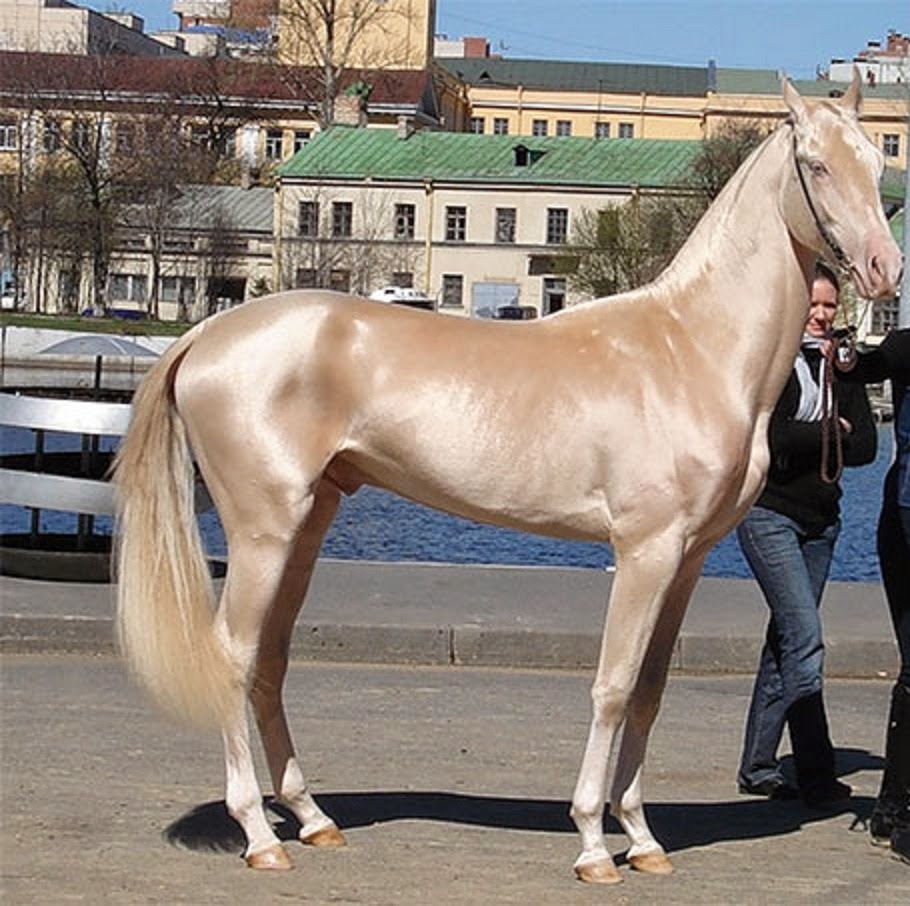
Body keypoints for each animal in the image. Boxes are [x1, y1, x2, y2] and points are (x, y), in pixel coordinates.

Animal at [114, 72, 901, 885]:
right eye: (815, 166)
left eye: (877, 163)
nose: (885, 269)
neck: (689, 349)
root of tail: (207, 334)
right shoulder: (644, 551)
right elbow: (613, 687)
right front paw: (593, 844)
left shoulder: (686, 561)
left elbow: (649, 692)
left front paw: (642, 837)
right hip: (263, 532)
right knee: (234, 657)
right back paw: (259, 835)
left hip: (305, 527)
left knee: (270, 658)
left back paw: (312, 819)